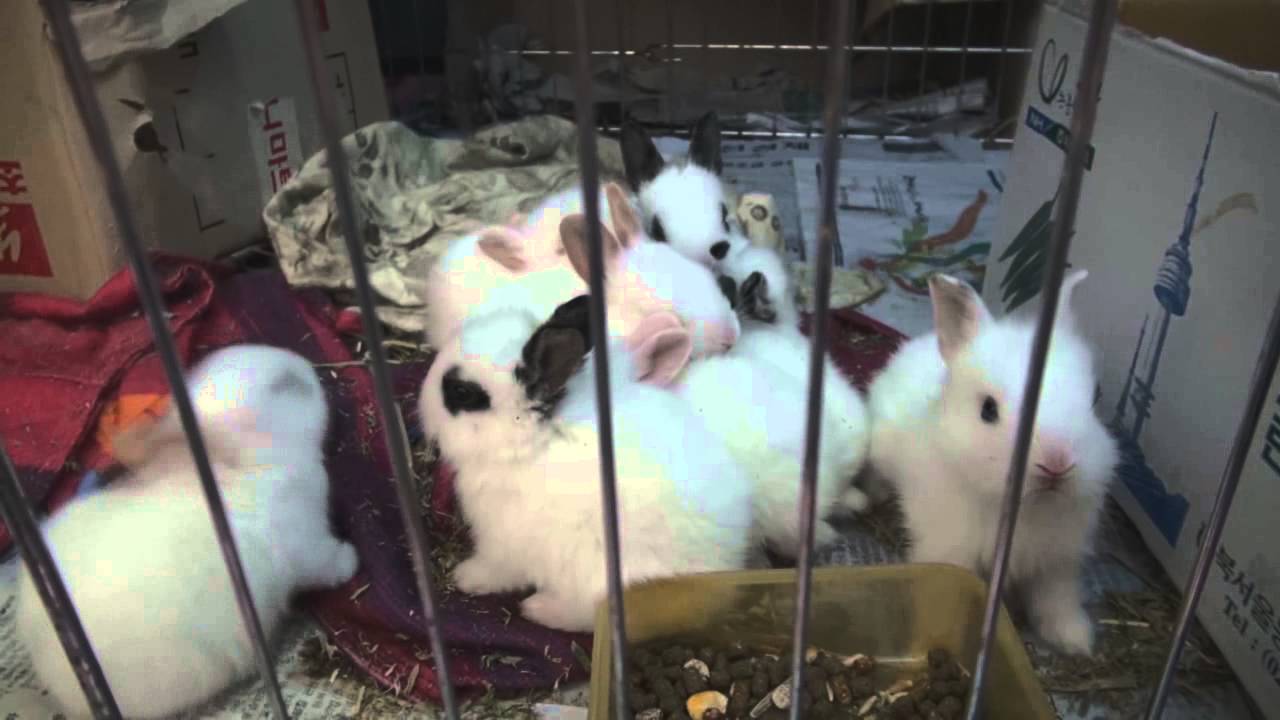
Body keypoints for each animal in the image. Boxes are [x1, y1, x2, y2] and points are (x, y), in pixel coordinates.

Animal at [15, 344, 359, 719]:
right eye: (286, 385)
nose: (309, 367)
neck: (248, 458)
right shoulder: (307, 542)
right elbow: (326, 564)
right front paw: (352, 561)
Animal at [418, 296, 755, 632]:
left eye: (462, 392)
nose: (422, 405)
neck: (535, 441)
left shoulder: (502, 542)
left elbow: (494, 570)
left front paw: (465, 577)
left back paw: (538, 609)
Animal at [864, 270, 1119, 656]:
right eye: (988, 410)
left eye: (1094, 400)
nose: (1057, 464)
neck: (1023, 509)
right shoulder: (952, 553)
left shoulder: (1058, 564)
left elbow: (1056, 600)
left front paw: (1075, 640)